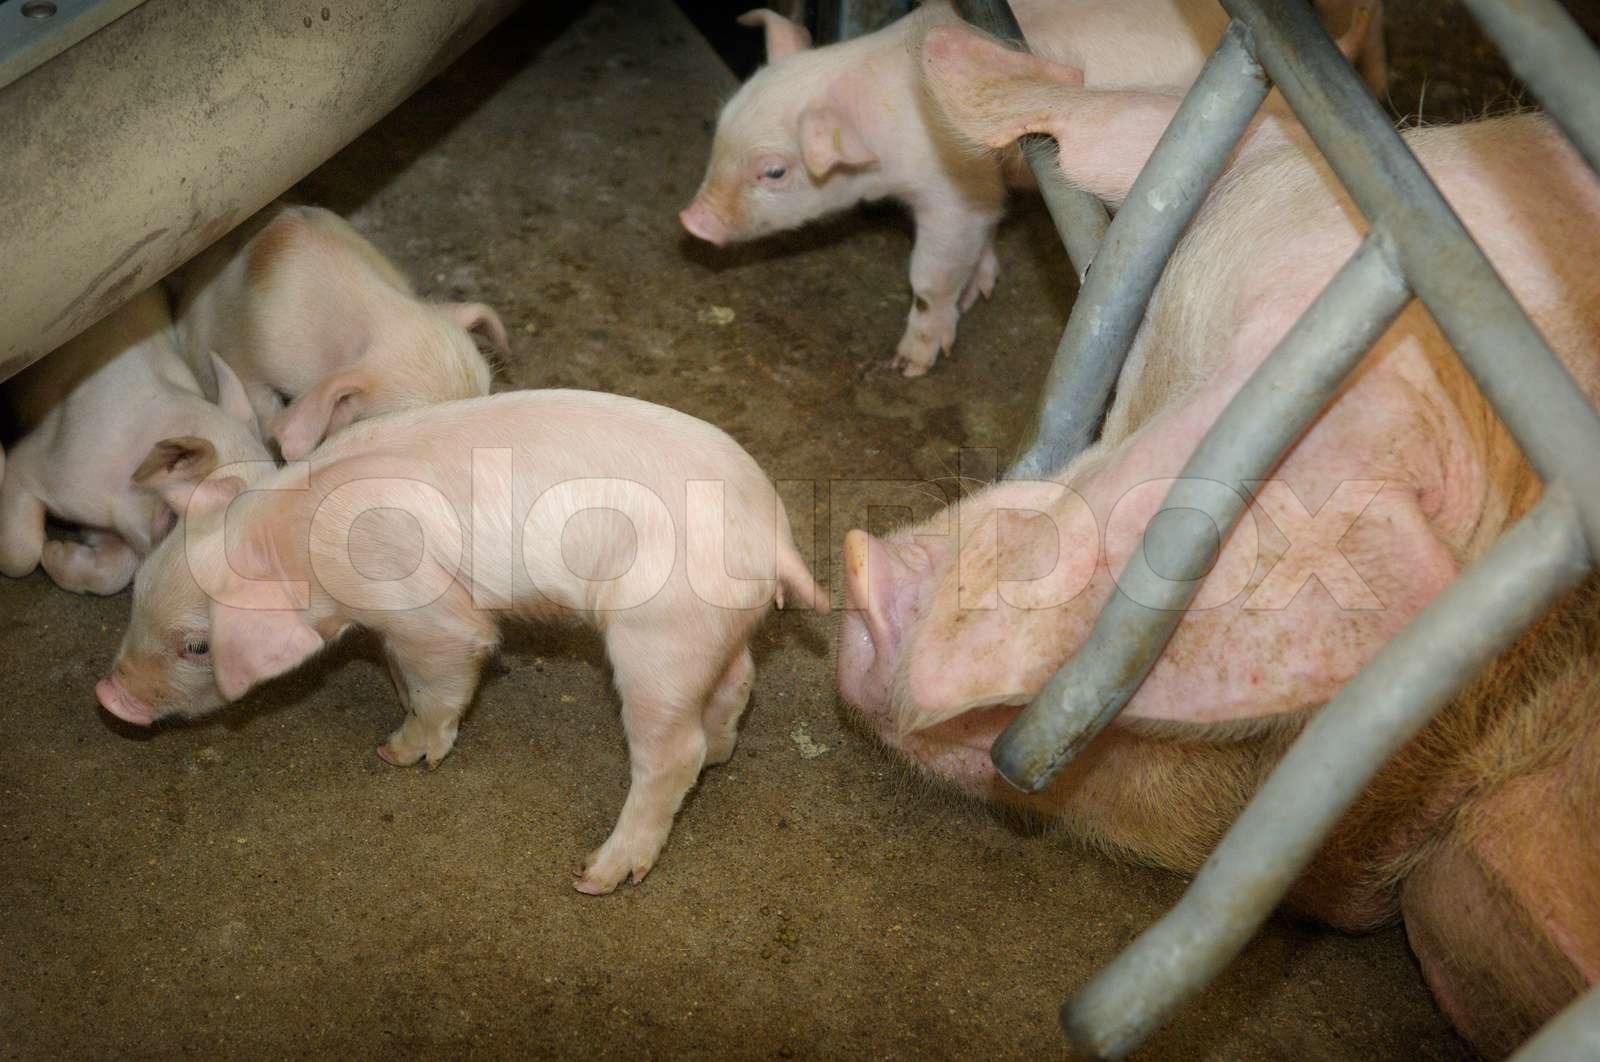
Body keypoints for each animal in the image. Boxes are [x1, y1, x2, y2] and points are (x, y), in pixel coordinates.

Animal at [96, 389, 825, 895]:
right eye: (138, 594)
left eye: (197, 647)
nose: (109, 697)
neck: (295, 538)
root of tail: (772, 535)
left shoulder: (422, 605)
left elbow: (448, 670)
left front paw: (397, 753)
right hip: (706, 630)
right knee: (735, 684)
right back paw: (723, 752)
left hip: (659, 635)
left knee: (673, 751)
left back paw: (596, 875)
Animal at [680, 1, 1385, 377]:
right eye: (719, 130)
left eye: (774, 171)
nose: (693, 222)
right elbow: (983, 238)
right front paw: (982, 285)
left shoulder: (952, 188)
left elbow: (930, 273)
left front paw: (912, 361)